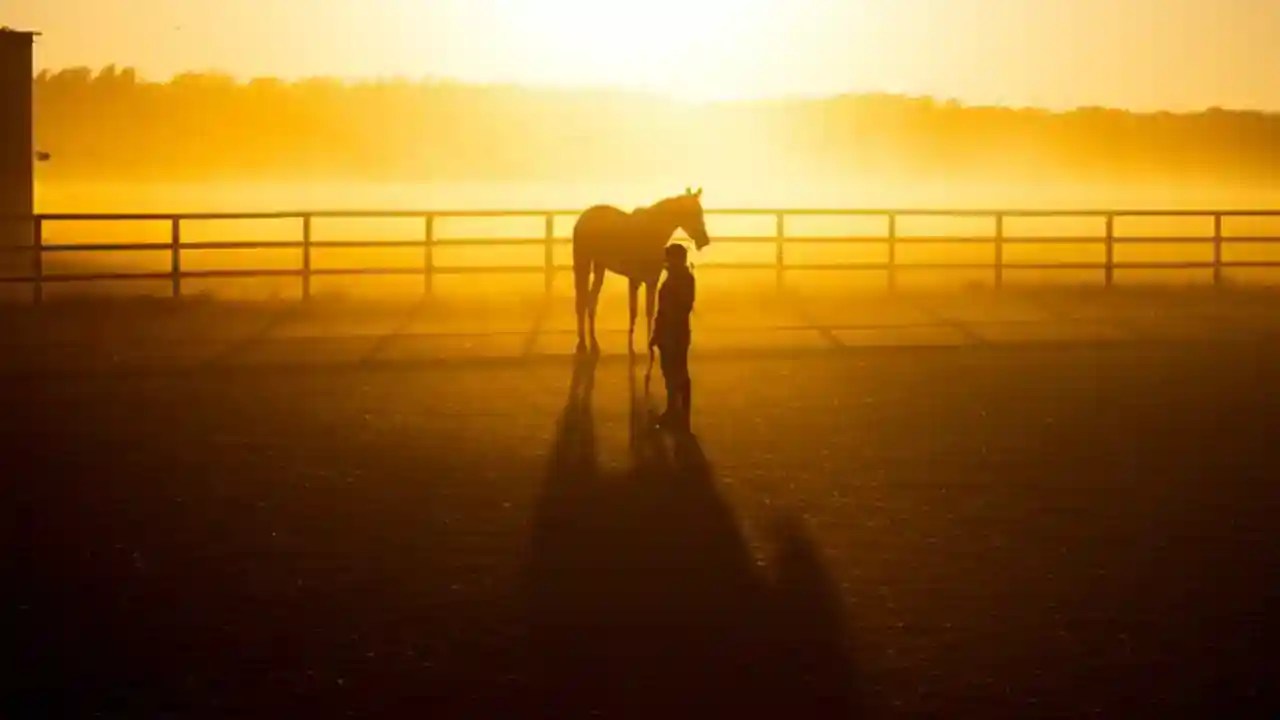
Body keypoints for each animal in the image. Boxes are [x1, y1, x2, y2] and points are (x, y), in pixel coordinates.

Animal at [571, 188, 711, 353]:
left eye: (700, 211)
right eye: (693, 212)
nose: (704, 241)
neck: (651, 232)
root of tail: (583, 217)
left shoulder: (652, 280)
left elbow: (649, 311)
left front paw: (649, 344)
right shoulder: (634, 279)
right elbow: (634, 311)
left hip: (600, 267)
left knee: (592, 300)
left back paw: (593, 341)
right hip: (583, 263)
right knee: (582, 301)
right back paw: (582, 342)